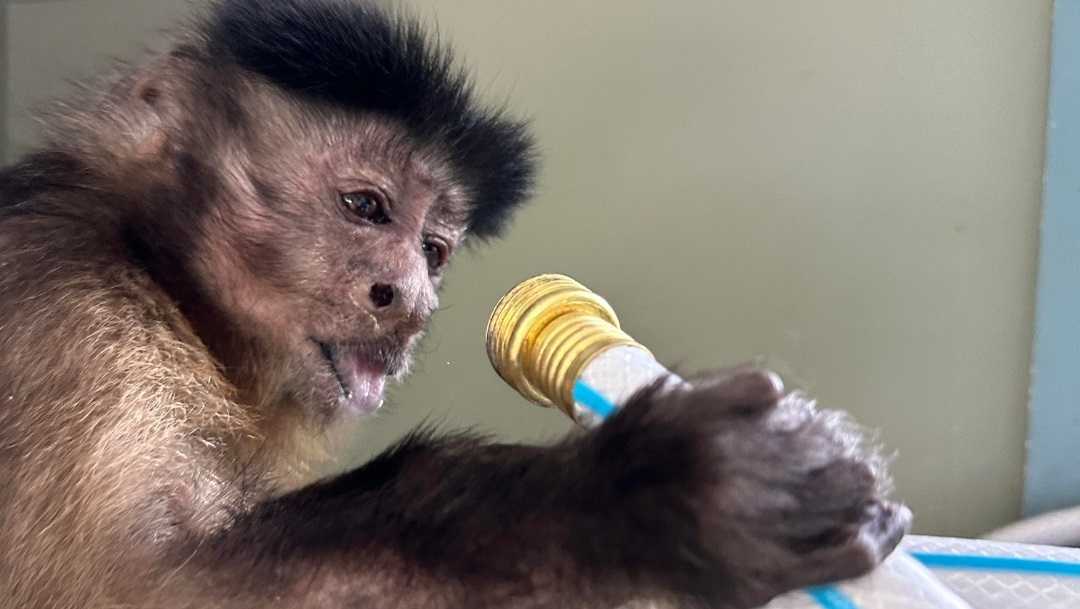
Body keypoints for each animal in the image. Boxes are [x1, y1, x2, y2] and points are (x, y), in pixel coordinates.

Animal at [0, 1, 911, 608]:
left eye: (434, 251)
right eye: (365, 207)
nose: (406, 300)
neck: (161, 272)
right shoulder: (76, 317)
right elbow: (137, 582)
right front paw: (657, 492)